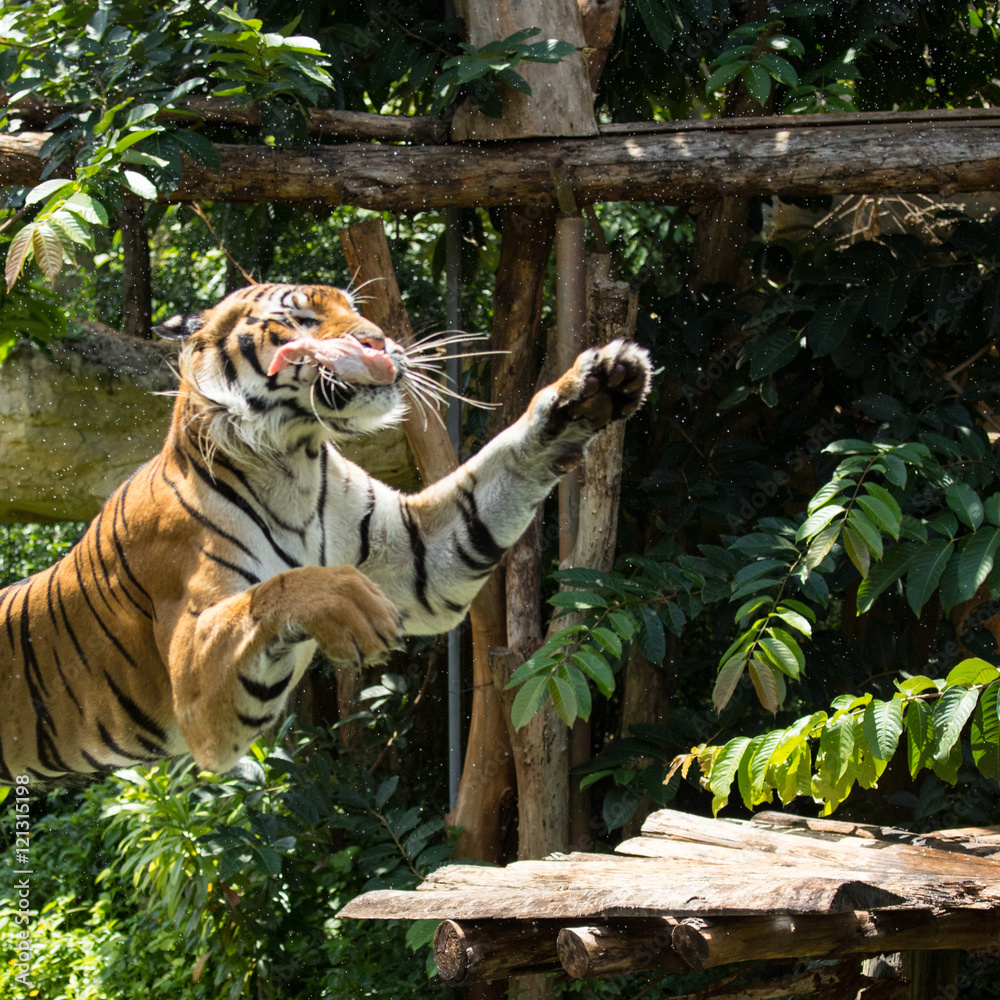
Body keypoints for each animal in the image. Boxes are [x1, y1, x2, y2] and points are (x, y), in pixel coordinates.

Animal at [0, 282, 651, 782]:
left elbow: (503, 466)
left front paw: (595, 386)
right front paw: (349, 607)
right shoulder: (193, 680)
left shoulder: (418, 552)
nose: (378, 343)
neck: (289, 458)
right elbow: (273, 592)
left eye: (354, 307)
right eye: (299, 319)